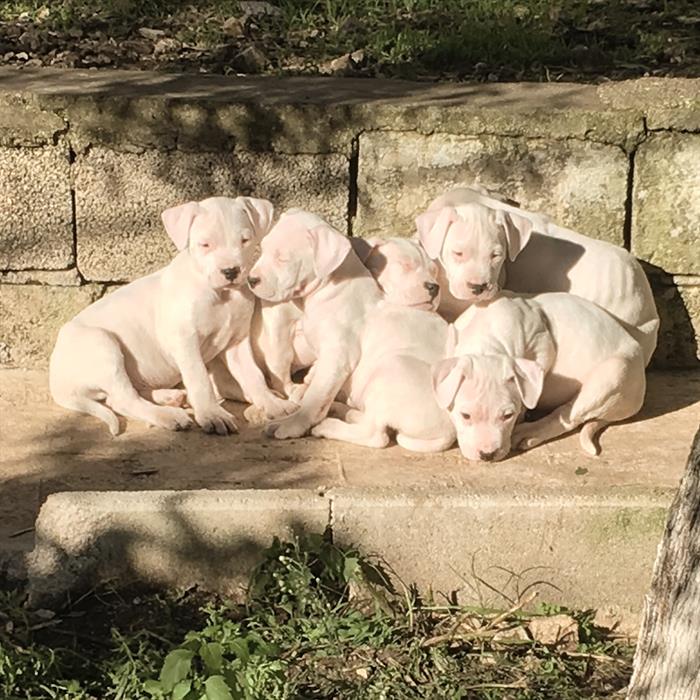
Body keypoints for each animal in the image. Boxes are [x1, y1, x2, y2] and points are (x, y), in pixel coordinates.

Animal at [49, 196, 290, 432]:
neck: (221, 294)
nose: (230, 271)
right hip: (103, 346)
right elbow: (199, 379)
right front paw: (212, 415)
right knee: (123, 400)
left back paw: (169, 397)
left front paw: (272, 404)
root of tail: (57, 380)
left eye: (245, 241)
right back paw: (167, 415)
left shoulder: (237, 342)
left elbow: (254, 376)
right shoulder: (185, 341)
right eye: (205, 244)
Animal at [434, 292, 648, 462]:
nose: (488, 454)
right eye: (465, 415)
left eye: (507, 416)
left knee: (566, 417)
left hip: (612, 375)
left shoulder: (543, 345)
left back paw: (529, 433)